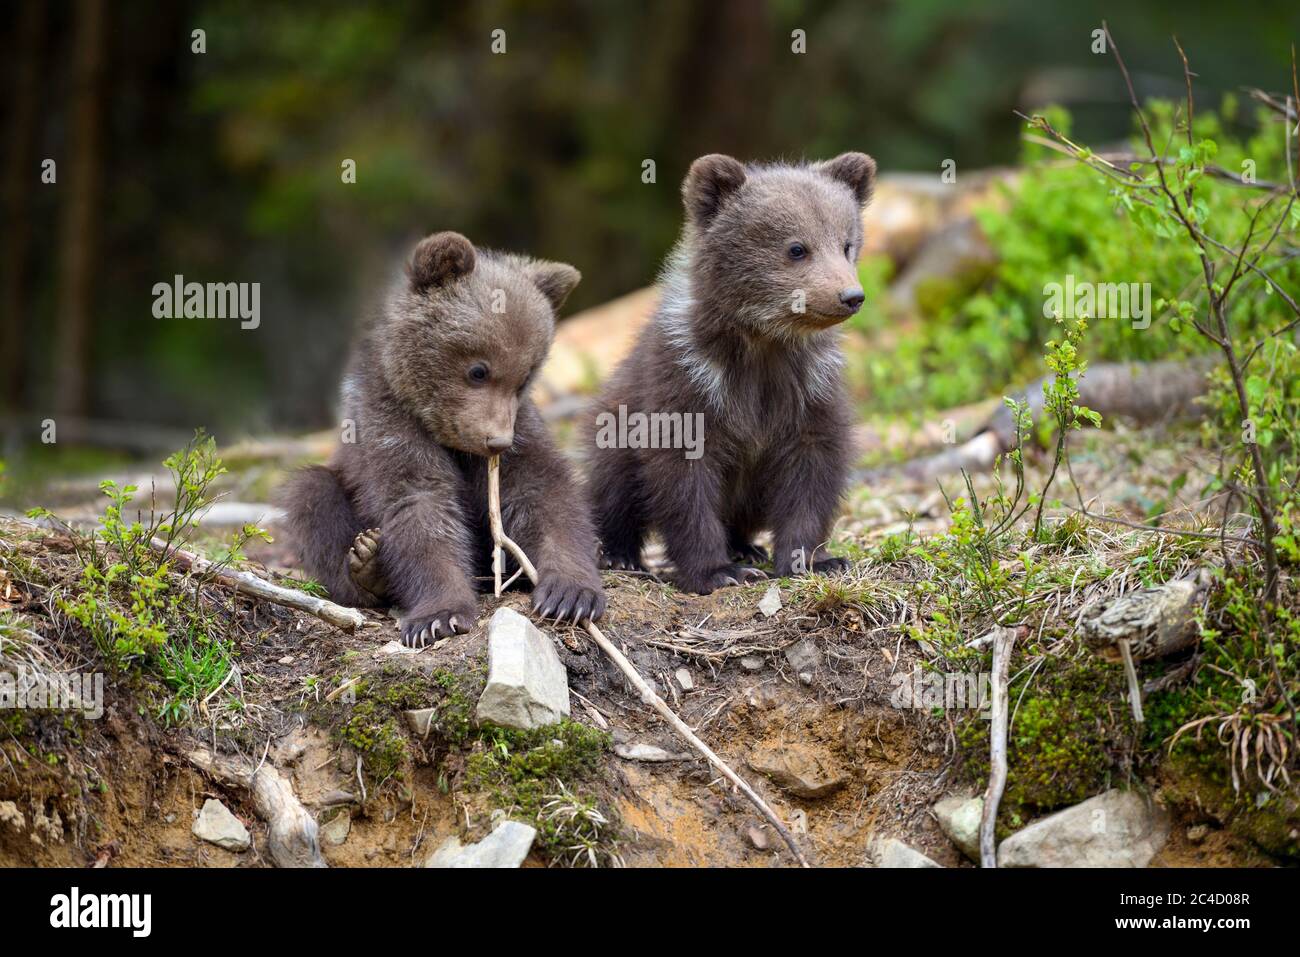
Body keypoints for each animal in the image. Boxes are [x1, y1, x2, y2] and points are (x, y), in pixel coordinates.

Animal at [279, 231, 606, 647]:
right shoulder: (388, 425)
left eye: (525, 377)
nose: (497, 441)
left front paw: (571, 593)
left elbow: (543, 493)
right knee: (310, 493)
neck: (447, 435)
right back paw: (367, 564)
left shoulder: (521, 430)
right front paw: (439, 616)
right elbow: (420, 503)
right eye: (478, 370)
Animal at [585, 152, 876, 594]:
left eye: (846, 244)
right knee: (614, 485)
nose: (850, 296)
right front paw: (717, 571)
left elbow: (813, 467)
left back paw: (745, 547)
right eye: (796, 248)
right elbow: (684, 478)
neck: (764, 343)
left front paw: (815, 560)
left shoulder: (809, 387)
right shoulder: (689, 379)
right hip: (616, 418)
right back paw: (619, 554)